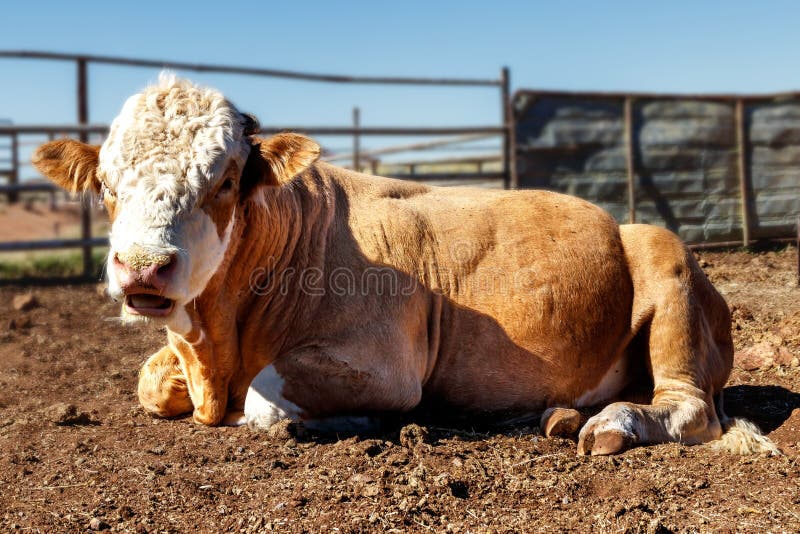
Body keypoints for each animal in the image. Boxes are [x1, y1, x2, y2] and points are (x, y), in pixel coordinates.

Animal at [32, 74, 776, 455]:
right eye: (106, 185)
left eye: (225, 180)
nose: (143, 268)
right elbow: (150, 384)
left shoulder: (385, 364)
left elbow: (265, 401)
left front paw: (341, 422)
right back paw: (555, 416)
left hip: (666, 263)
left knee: (690, 406)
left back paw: (616, 423)